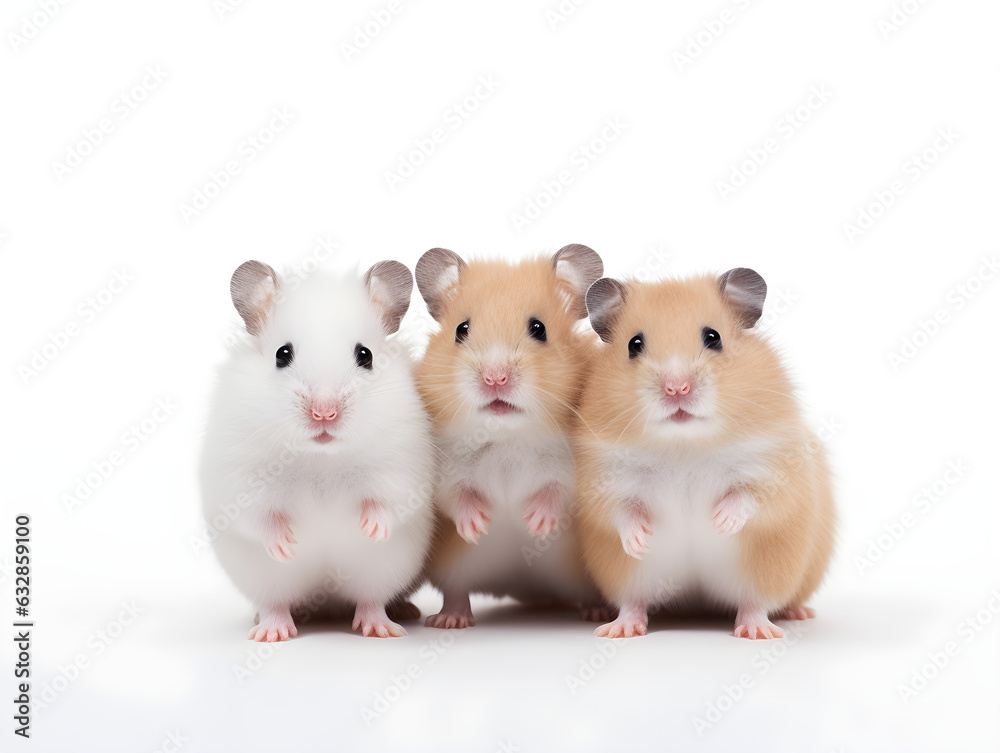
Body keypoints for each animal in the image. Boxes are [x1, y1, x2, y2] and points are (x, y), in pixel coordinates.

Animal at [200, 259, 435, 640]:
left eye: (366, 355)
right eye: (282, 354)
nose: (324, 413)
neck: (320, 459)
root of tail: (326, 602)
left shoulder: (401, 472)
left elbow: (388, 505)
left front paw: (370, 530)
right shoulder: (240, 481)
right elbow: (259, 518)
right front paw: (286, 545)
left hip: (380, 573)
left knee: (371, 600)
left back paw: (385, 626)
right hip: (264, 580)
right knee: (275, 604)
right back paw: (270, 631)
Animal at [414, 245, 607, 628]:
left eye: (539, 329)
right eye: (461, 330)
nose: (495, 378)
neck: (507, 438)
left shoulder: (576, 471)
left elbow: (559, 492)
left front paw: (535, 525)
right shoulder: (444, 469)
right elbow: (455, 496)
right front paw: (480, 525)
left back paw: (596, 611)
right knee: (457, 590)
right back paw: (449, 619)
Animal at [575, 269, 835, 639]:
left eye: (713, 338)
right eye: (634, 344)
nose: (677, 389)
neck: (685, 445)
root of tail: (695, 605)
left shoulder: (776, 469)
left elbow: (750, 497)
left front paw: (719, 522)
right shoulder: (603, 480)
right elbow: (620, 512)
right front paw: (641, 540)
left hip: (767, 574)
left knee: (756, 604)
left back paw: (767, 627)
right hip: (627, 577)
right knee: (632, 601)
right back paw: (619, 629)